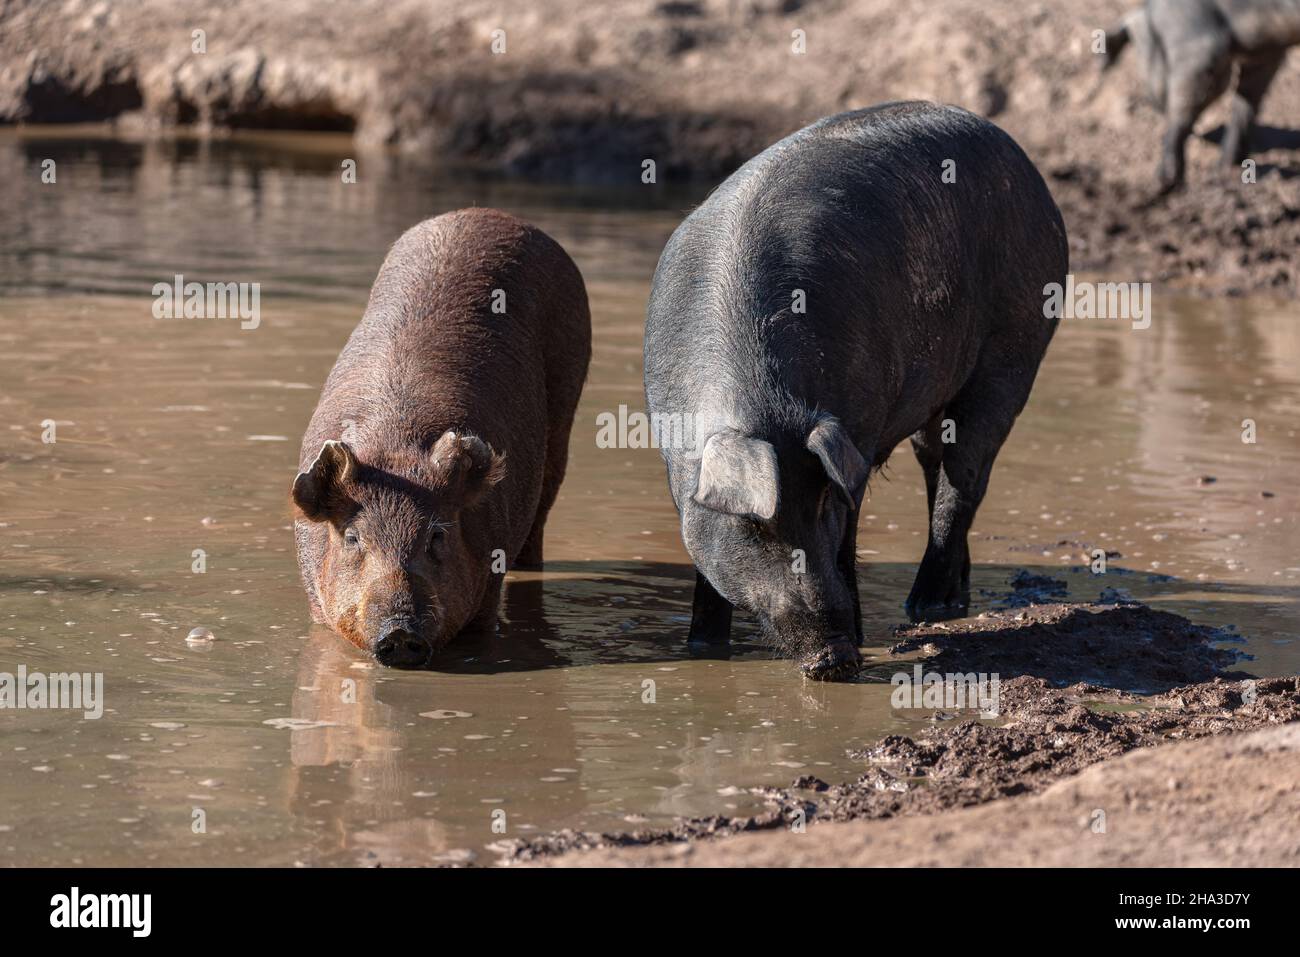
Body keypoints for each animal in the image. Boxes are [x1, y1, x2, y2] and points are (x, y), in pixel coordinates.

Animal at [644, 102, 1068, 680]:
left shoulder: (855, 439)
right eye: (754, 525)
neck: (761, 403)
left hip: (1015, 347)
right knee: (935, 463)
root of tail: (1028, 168)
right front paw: (703, 647)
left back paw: (927, 607)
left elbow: (849, 537)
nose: (836, 657)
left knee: (964, 480)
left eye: (824, 503)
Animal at [1102, 0, 1300, 191]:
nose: (1150, 100)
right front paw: (1227, 168)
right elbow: (1247, 102)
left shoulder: (1198, 50)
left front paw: (1166, 182)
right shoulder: (1266, 53)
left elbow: (1186, 106)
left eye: (1140, 51)